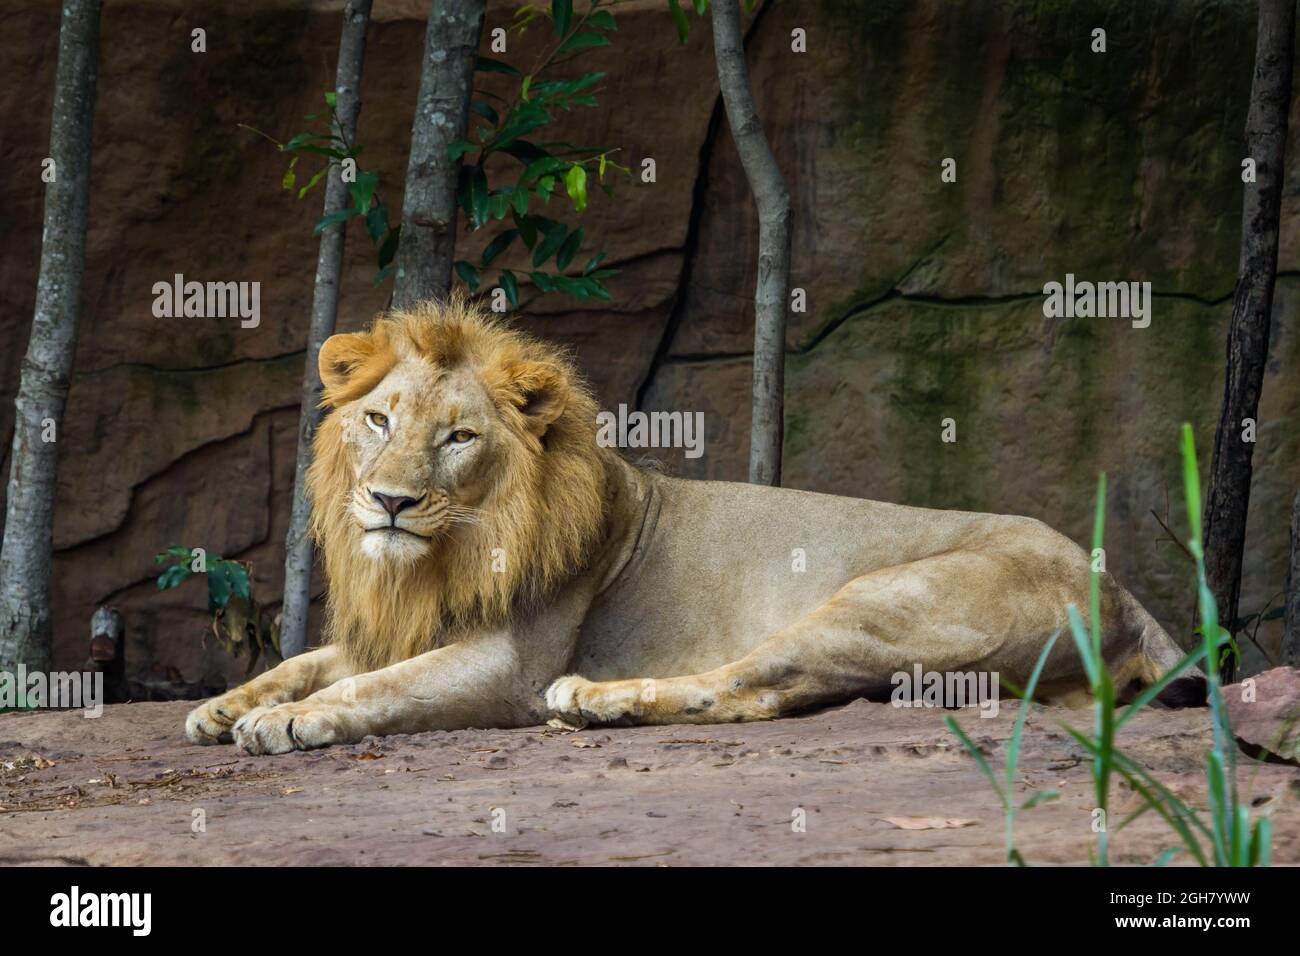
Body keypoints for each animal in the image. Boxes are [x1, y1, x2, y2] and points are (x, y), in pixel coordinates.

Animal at [186, 297, 1191, 754]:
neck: (440, 555)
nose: (389, 502)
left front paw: (287, 723)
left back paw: (598, 701)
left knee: (752, 686)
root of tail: (1120, 587)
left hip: (881, 600)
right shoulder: (397, 625)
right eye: (379, 421)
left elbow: (376, 688)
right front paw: (224, 706)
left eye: (459, 436)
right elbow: (307, 659)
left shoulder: (507, 661)